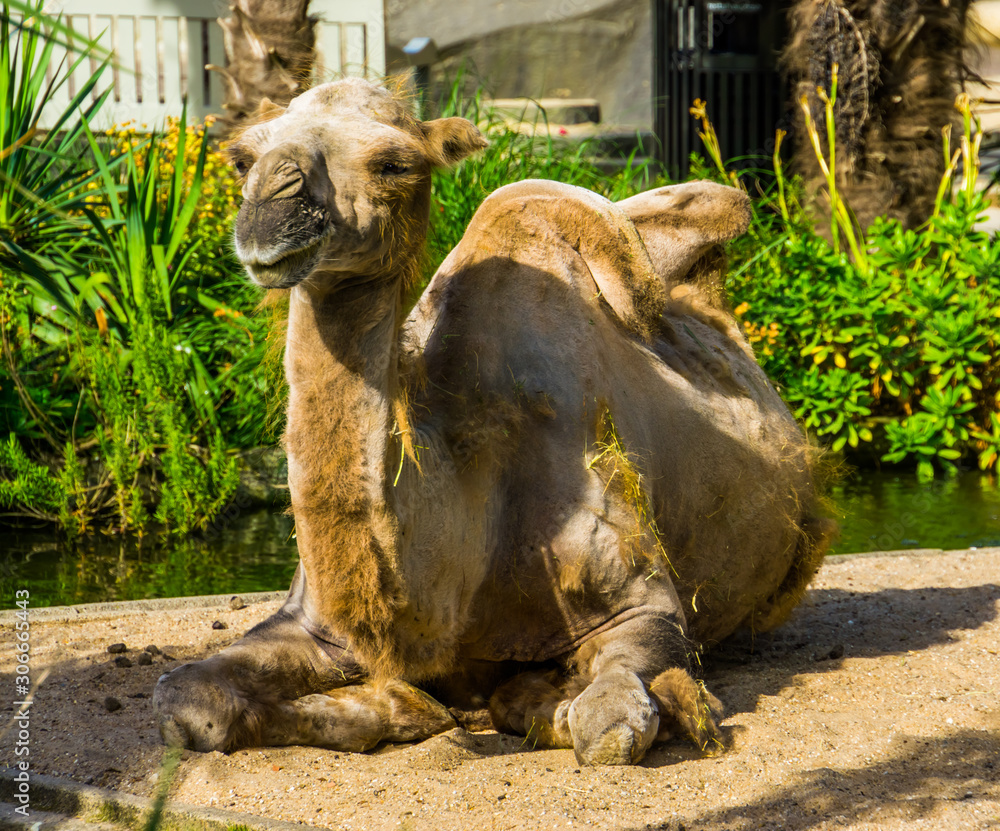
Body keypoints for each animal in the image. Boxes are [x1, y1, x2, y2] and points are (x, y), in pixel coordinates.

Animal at [153, 78, 835, 766]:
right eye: (242, 158)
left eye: (394, 164)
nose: (268, 210)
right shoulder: (316, 626)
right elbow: (187, 699)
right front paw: (407, 707)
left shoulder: (643, 609)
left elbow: (608, 725)